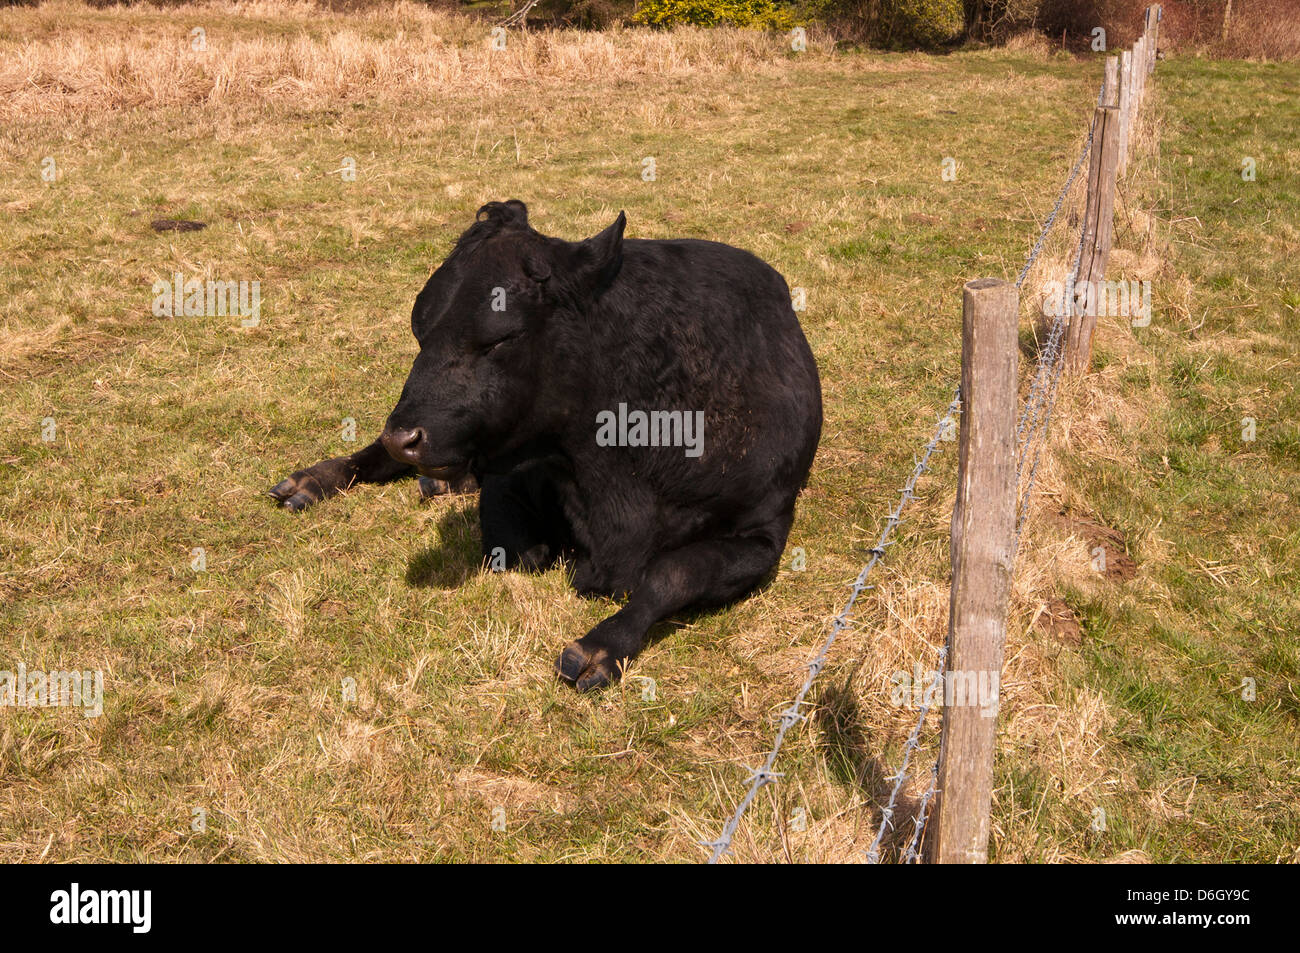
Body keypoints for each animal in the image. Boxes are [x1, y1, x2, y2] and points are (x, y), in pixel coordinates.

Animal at [269, 200, 822, 691]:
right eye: (418, 329)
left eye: (500, 338)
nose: (403, 438)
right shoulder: (509, 473)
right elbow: (524, 551)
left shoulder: (763, 530)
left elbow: (674, 573)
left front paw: (599, 647)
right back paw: (315, 479)